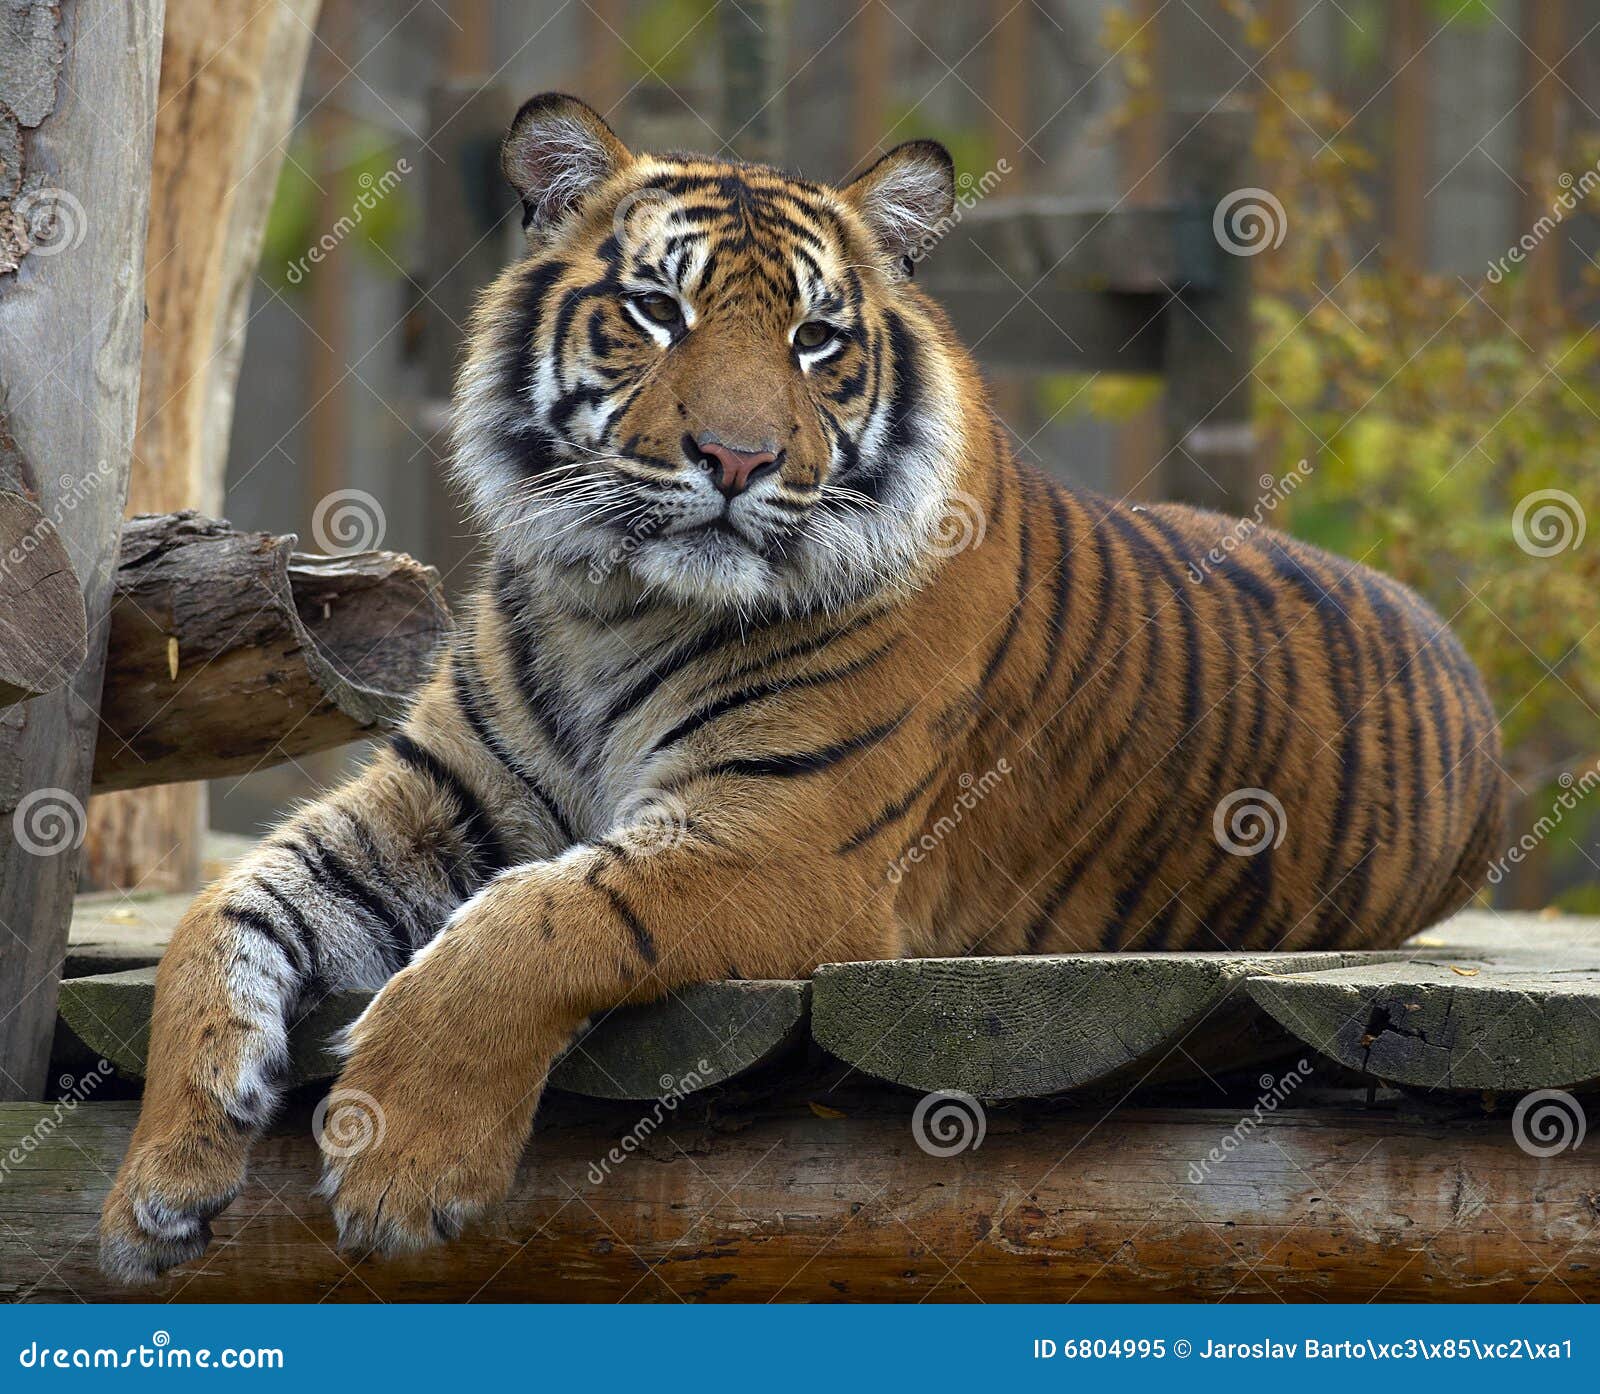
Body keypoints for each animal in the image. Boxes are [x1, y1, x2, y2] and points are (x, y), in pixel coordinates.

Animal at [100, 93, 1504, 1281]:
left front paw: (397, 1158)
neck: (613, 601)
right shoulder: (433, 802)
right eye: (656, 313)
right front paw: (155, 1183)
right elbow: (217, 915)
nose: (736, 457)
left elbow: (536, 922)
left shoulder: (781, 839)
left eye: (814, 337)